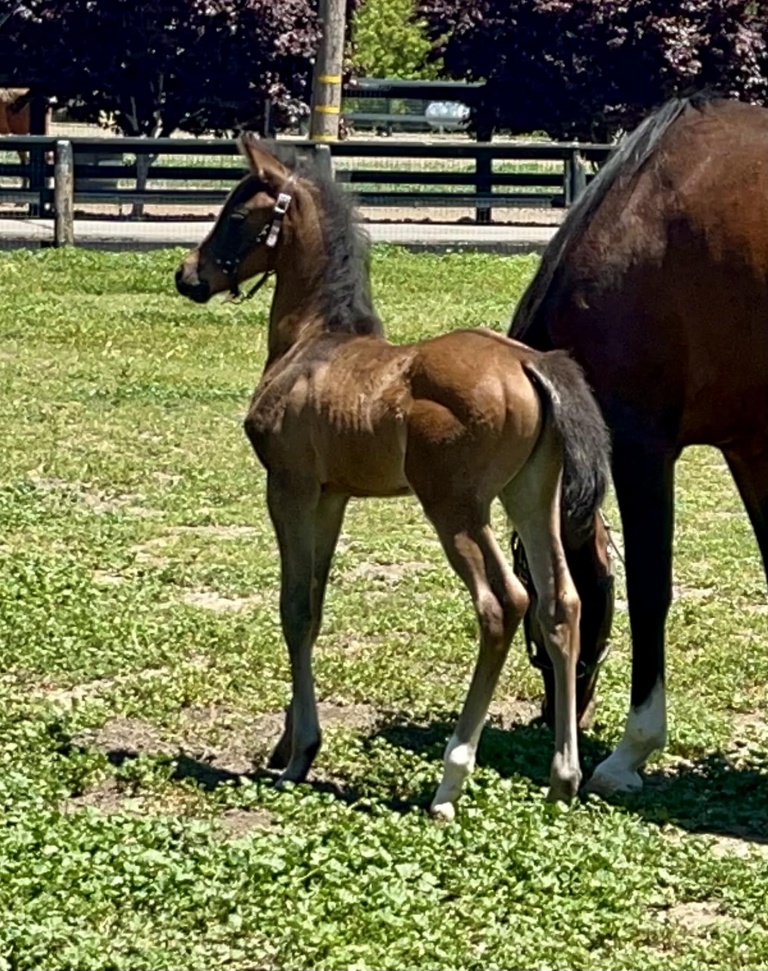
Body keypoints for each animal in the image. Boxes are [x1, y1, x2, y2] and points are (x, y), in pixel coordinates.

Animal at [176, 136, 611, 819]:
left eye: (237, 214)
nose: (188, 275)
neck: (311, 344)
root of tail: (530, 363)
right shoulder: (332, 497)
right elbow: (315, 605)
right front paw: (287, 742)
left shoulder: (289, 487)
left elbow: (292, 606)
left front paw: (298, 754)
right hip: (531, 496)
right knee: (559, 602)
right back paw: (563, 778)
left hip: (456, 506)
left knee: (503, 603)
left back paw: (451, 780)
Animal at [510, 93, 768, 796]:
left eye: (533, 611)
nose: (556, 714)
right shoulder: (749, 448)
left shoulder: (639, 445)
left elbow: (651, 588)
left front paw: (630, 752)